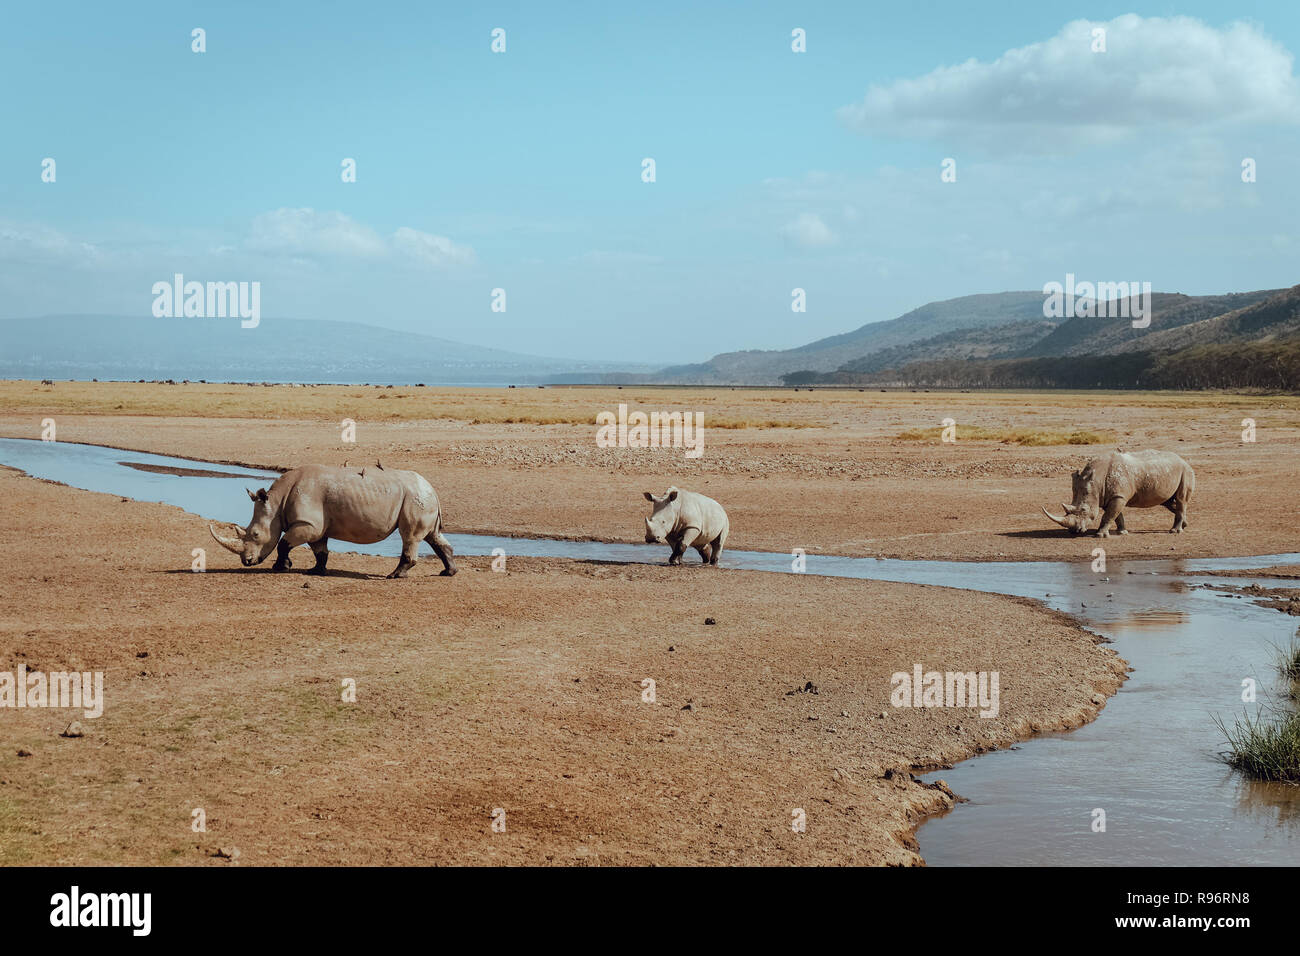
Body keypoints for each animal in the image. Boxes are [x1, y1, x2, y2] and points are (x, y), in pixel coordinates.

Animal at [209, 464, 456, 578]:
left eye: (255, 534)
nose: (247, 562)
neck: (277, 502)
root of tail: (432, 489)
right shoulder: (314, 526)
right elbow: (320, 549)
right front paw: (315, 571)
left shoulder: (307, 523)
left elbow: (283, 543)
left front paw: (281, 568)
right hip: (420, 497)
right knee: (434, 536)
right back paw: (448, 573)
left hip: (414, 498)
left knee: (410, 536)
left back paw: (394, 576)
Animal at [1042, 449, 1195, 538]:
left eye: (1084, 510)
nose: (1074, 531)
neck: (1096, 480)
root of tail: (1183, 460)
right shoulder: (1109, 496)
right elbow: (1116, 515)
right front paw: (1122, 532)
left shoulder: (1118, 496)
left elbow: (1109, 515)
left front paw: (1100, 535)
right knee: (1168, 502)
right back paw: (1185, 525)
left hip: (1185, 471)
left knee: (1180, 500)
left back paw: (1175, 531)